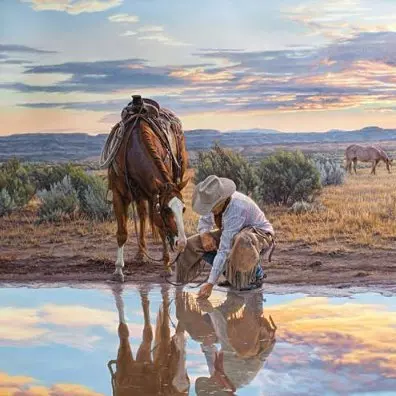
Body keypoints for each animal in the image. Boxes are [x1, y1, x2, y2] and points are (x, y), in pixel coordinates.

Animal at [107, 103, 189, 280]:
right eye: (166, 209)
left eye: (184, 209)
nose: (182, 243)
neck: (133, 148)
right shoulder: (118, 194)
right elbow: (122, 232)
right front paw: (118, 270)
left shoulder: (154, 194)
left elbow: (160, 227)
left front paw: (167, 265)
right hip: (138, 195)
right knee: (142, 215)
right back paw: (141, 253)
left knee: (145, 216)